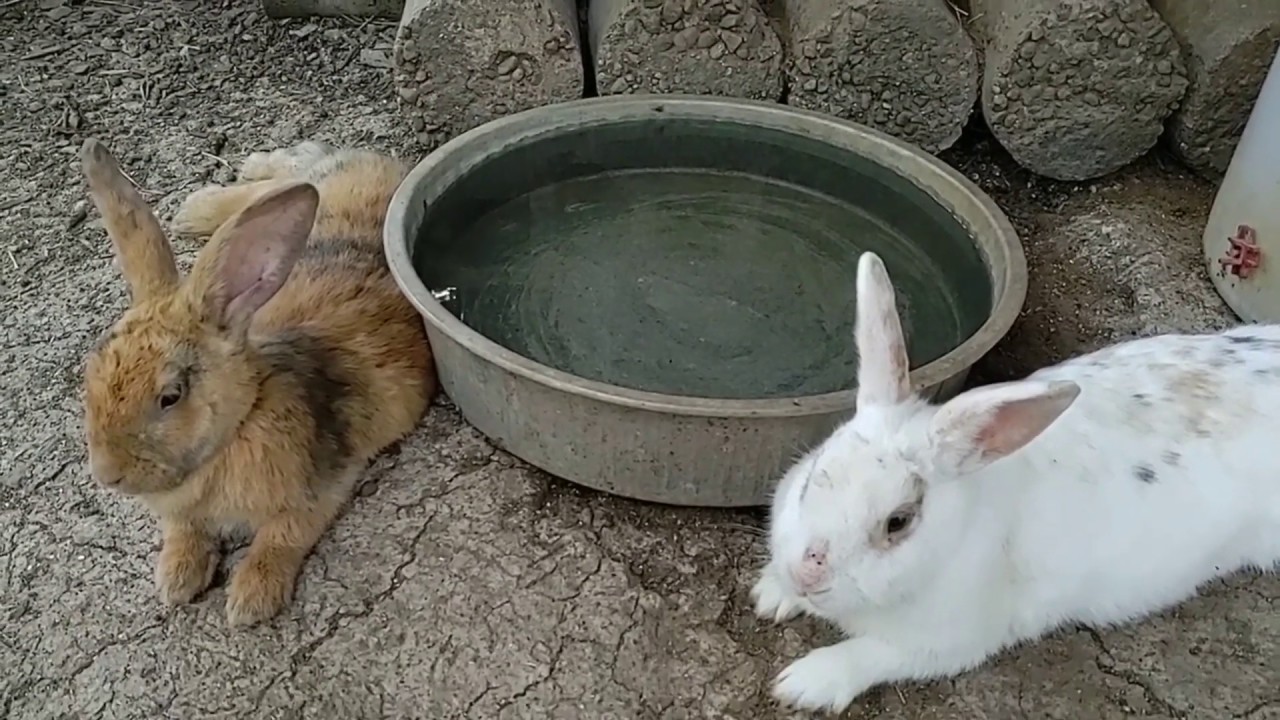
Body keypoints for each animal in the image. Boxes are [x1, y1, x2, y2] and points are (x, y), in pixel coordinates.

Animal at [78, 137, 437, 627]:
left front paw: (250, 600)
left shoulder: (322, 487)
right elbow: (183, 531)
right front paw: (176, 580)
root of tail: (388, 170)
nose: (106, 475)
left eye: (170, 396)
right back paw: (200, 206)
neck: (241, 421)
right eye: (89, 375)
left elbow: (282, 536)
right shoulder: (185, 511)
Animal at [750, 250, 1280, 713]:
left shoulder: (948, 642)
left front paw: (802, 684)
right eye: (813, 477)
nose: (807, 574)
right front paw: (771, 594)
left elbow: (869, 656)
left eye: (898, 522)